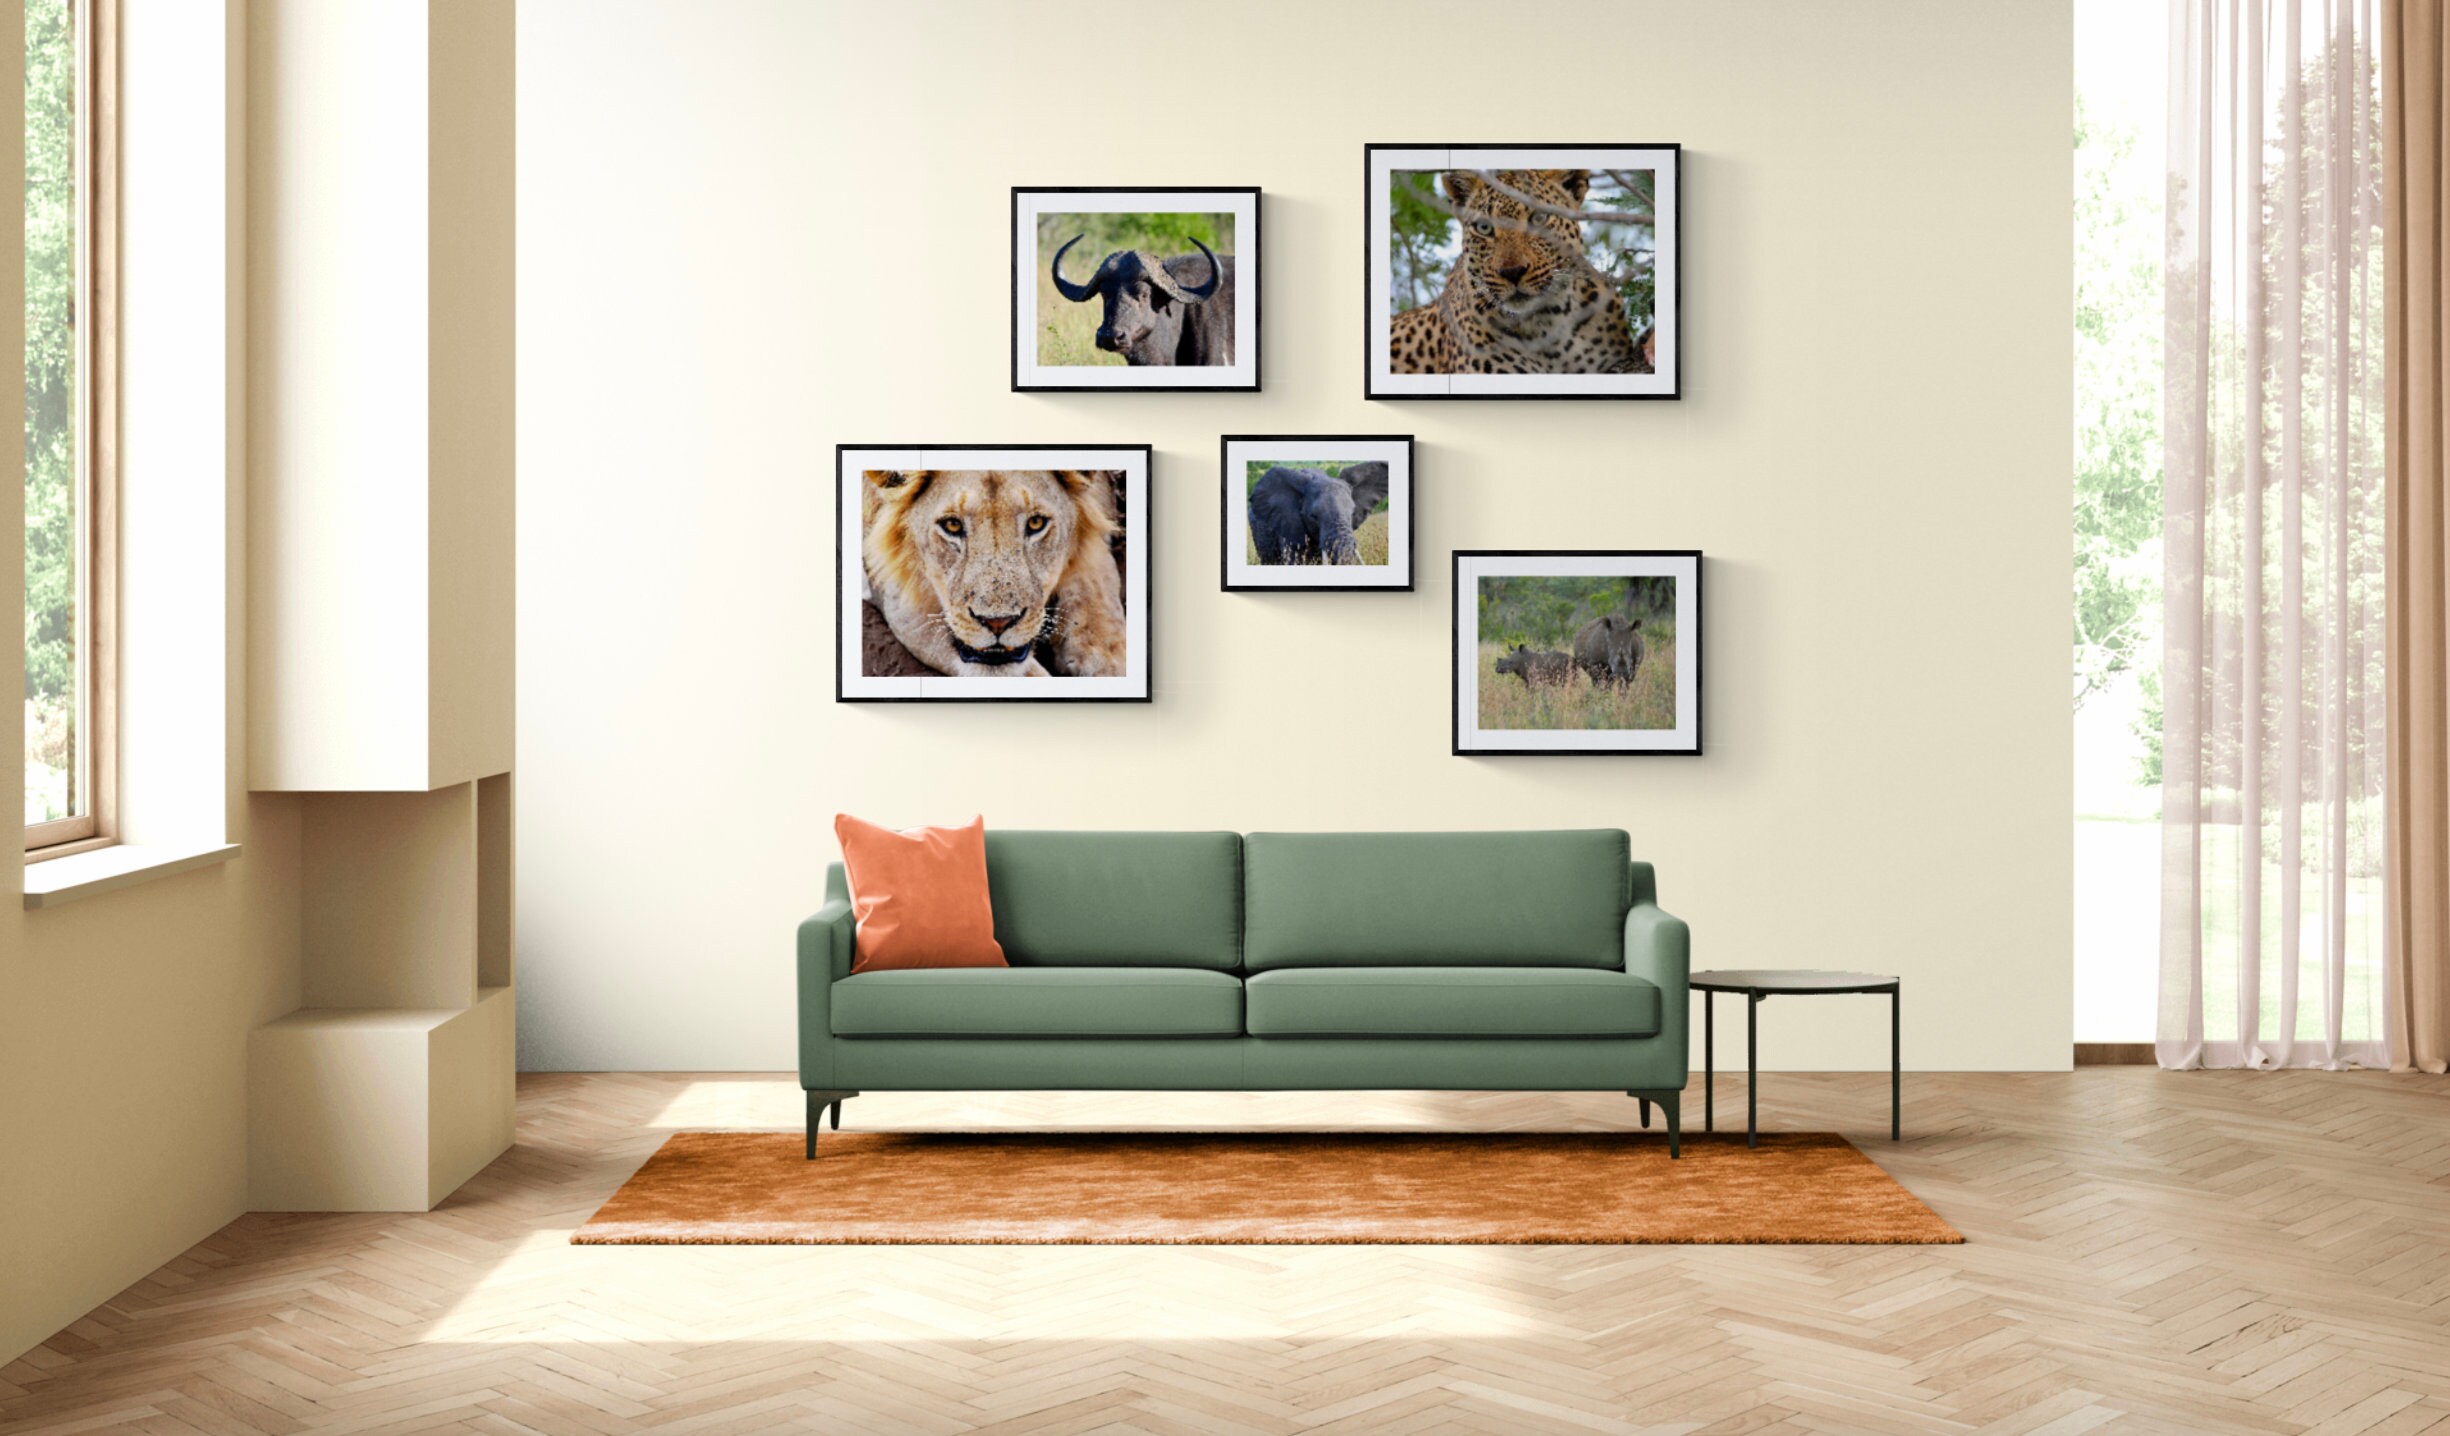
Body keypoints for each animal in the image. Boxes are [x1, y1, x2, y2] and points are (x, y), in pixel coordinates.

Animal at [860, 469, 1128, 679]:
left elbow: (1094, 580)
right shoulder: (901, 602)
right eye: (952, 525)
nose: (998, 622)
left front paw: (1106, 656)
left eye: (1036, 523)